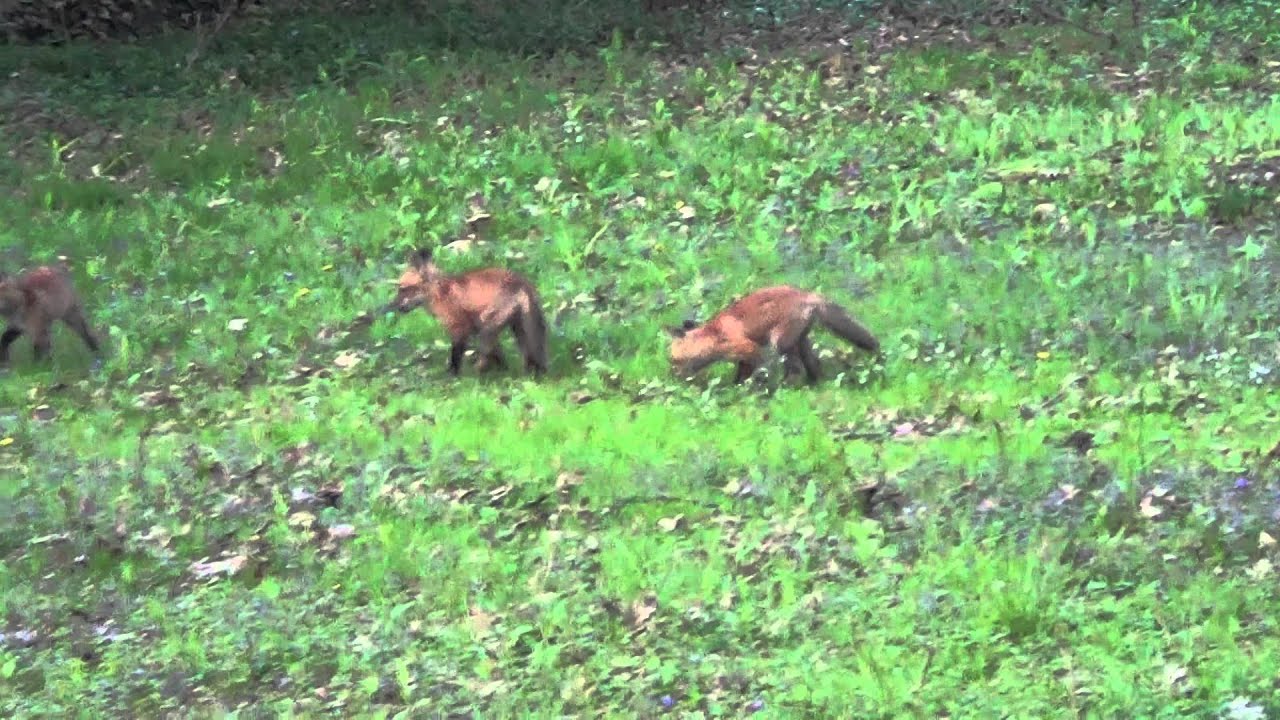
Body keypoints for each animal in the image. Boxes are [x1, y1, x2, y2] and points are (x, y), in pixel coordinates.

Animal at [385, 247, 549, 377]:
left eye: (403, 290)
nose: (394, 306)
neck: (440, 293)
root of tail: (521, 282)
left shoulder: (460, 328)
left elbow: (456, 357)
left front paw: (453, 377)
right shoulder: (474, 327)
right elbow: (499, 355)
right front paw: (503, 370)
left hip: (488, 327)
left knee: (486, 355)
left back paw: (478, 374)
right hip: (517, 328)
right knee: (530, 353)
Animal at [666, 285, 879, 385]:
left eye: (673, 360)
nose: (673, 377)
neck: (714, 336)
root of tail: (806, 294)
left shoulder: (749, 349)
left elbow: (757, 374)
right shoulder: (743, 358)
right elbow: (741, 376)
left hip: (781, 343)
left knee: (796, 369)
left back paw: (787, 387)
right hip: (800, 341)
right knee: (814, 364)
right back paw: (814, 384)